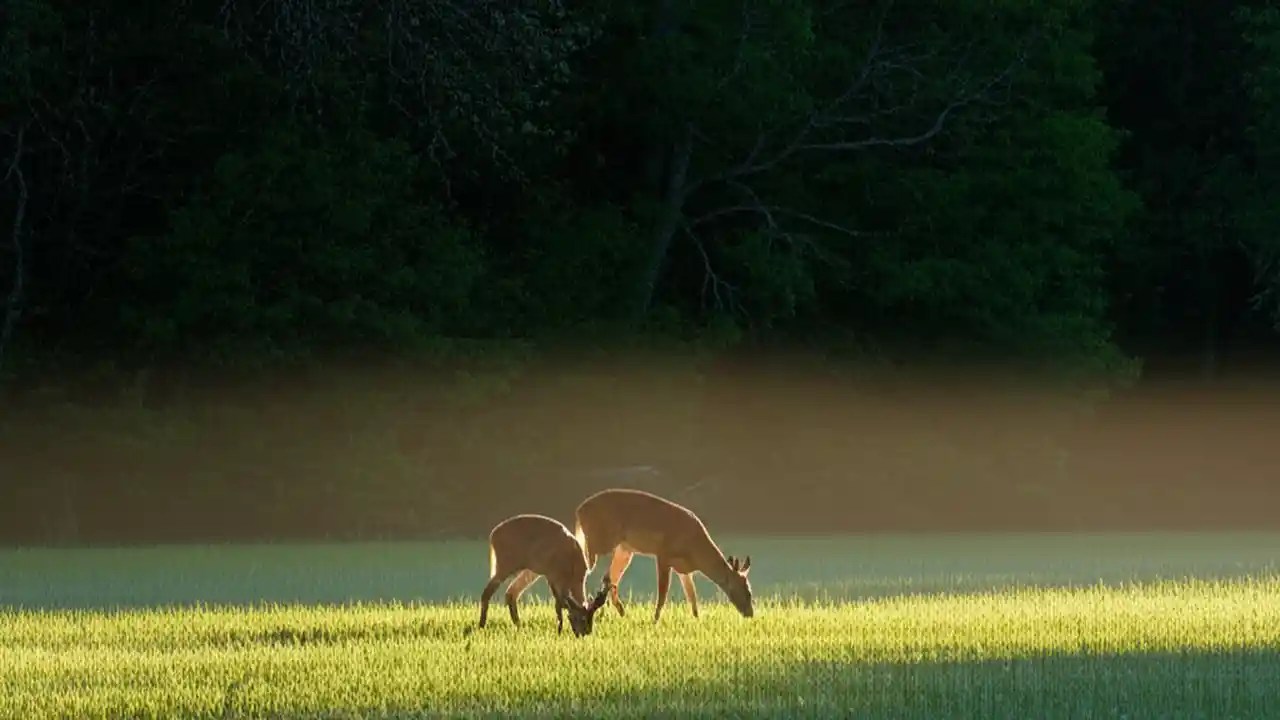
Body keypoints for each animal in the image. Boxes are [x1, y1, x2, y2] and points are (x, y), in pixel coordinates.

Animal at [478, 513, 612, 637]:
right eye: (582, 618)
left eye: (591, 618)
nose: (585, 633)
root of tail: (492, 536)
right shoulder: (552, 575)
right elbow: (559, 604)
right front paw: (559, 631)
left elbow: (560, 603)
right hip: (505, 565)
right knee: (488, 592)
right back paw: (481, 626)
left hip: (530, 570)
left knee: (511, 593)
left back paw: (519, 626)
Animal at [573, 488, 754, 624]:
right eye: (746, 591)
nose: (750, 614)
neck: (696, 551)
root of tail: (579, 511)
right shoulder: (663, 555)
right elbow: (663, 594)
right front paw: (655, 621)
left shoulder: (684, 570)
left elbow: (692, 596)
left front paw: (697, 619)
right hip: (601, 542)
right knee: (591, 573)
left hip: (624, 550)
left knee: (608, 579)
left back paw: (620, 613)